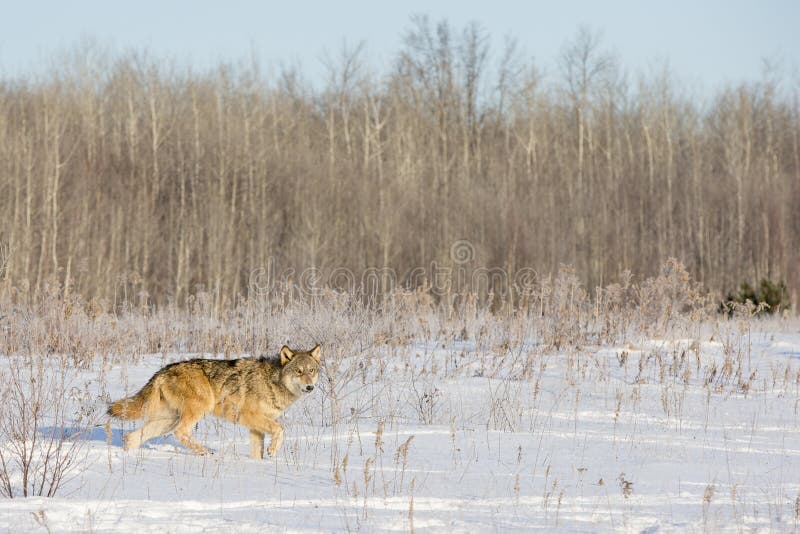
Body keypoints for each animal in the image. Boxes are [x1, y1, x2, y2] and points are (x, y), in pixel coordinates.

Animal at [107, 345, 321, 459]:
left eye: (311, 371)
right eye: (298, 371)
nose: (310, 387)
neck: (272, 381)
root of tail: (163, 370)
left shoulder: (255, 427)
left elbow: (257, 452)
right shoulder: (249, 417)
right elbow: (280, 429)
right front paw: (273, 450)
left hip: (166, 421)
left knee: (131, 437)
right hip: (197, 410)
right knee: (181, 432)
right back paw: (204, 453)